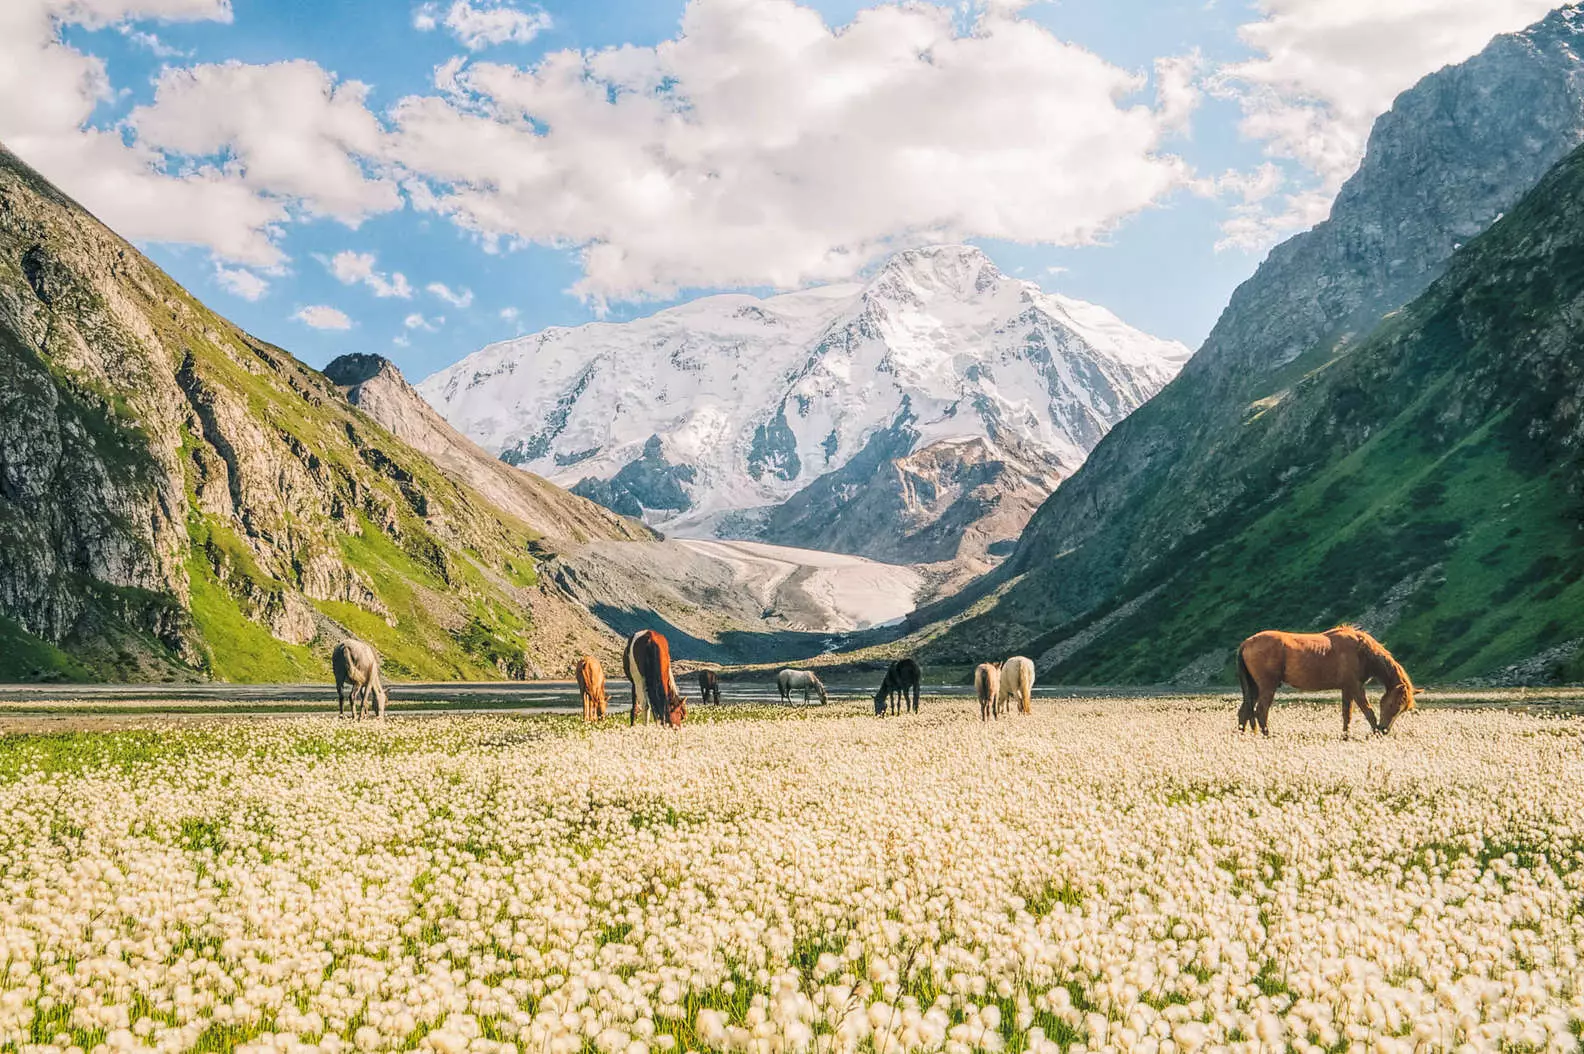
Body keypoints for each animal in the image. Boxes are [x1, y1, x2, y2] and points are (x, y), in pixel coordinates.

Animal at [1229, 621, 1419, 735]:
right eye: (1393, 704)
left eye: (1403, 709)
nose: (1384, 729)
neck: (1362, 652)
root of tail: (1245, 643)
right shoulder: (1356, 687)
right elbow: (1369, 712)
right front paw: (1374, 733)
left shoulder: (1347, 688)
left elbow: (1347, 714)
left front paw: (1345, 736)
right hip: (1267, 686)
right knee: (1260, 711)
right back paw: (1267, 735)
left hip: (1253, 687)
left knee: (1244, 712)